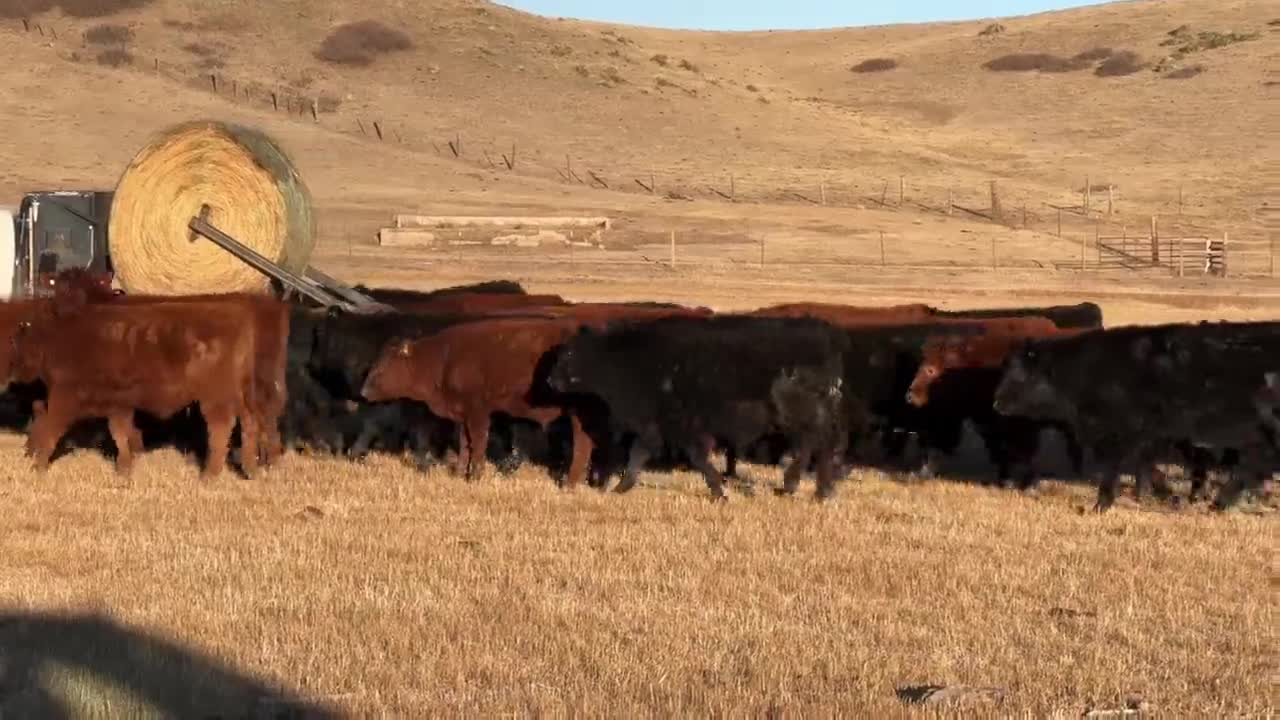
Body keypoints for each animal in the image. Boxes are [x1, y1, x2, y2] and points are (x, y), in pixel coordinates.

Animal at [10, 301, 258, 478]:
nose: (24, 451)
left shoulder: (65, 398)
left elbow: (51, 430)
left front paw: (38, 466)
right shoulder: (118, 405)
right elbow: (121, 433)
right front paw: (125, 467)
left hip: (215, 398)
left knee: (221, 429)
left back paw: (209, 475)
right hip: (235, 395)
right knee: (248, 422)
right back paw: (249, 468)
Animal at [547, 314, 850, 500]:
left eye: (570, 353)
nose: (550, 379)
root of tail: (825, 335)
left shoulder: (682, 425)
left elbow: (697, 458)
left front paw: (719, 492)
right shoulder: (655, 426)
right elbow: (638, 454)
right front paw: (622, 487)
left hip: (800, 415)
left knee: (817, 444)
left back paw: (806, 488)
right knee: (816, 446)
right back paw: (810, 490)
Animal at [991, 321, 1280, 511]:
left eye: (1021, 374)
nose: (996, 402)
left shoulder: (1119, 433)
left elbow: (1113, 468)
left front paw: (1102, 504)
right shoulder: (1150, 435)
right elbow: (1146, 467)